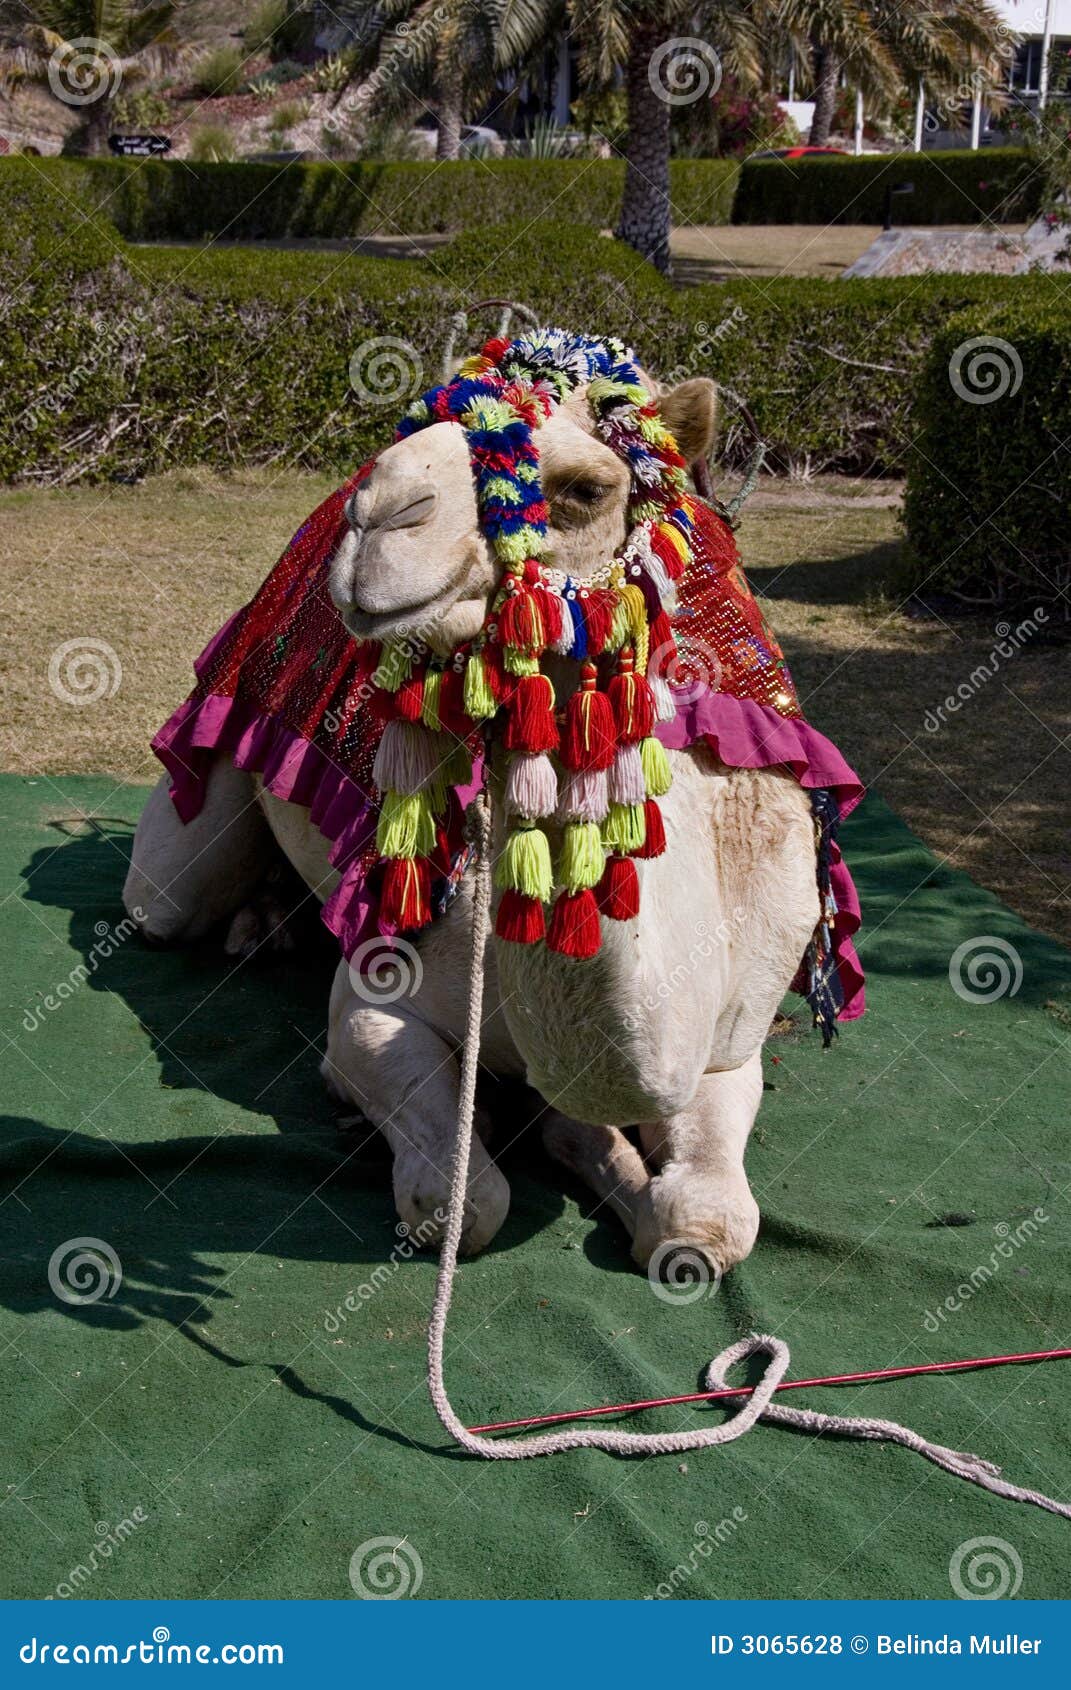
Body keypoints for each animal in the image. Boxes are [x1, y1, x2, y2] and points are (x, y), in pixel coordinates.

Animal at [124, 344, 854, 1281]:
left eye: (586, 488)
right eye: (412, 431)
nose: (378, 512)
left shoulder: (732, 1035)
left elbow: (706, 1225)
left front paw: (612, 1169)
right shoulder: (369, 1005)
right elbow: (464, 1206)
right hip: (186, 820)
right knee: (167, 899)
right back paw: (255, 924)